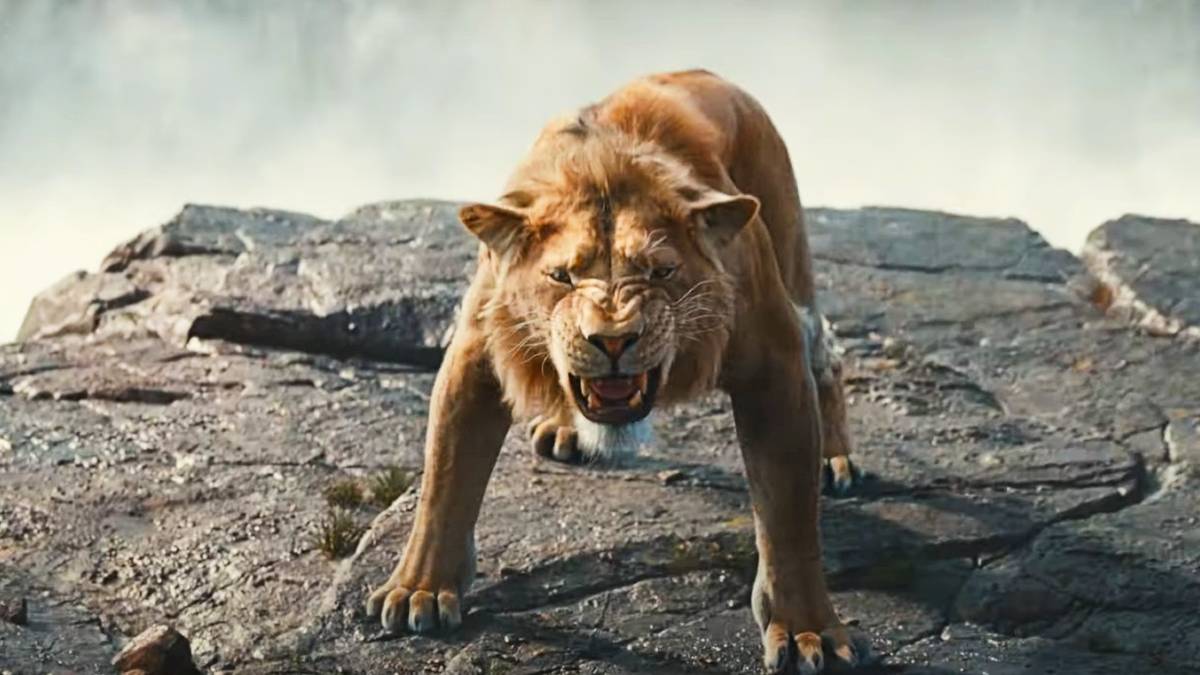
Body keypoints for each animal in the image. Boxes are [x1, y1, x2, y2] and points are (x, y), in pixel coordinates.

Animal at [366, 69, 863, 673]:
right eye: (561, 276)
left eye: (660, 271)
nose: (612, 339)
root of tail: (711, 75)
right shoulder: (478, 351)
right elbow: (444, 481)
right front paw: (417, 589)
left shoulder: (774, 362)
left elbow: (789, 517)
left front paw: (807, 629)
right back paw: (562, 429)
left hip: (790, 253)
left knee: (827, 353)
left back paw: (835, 460)